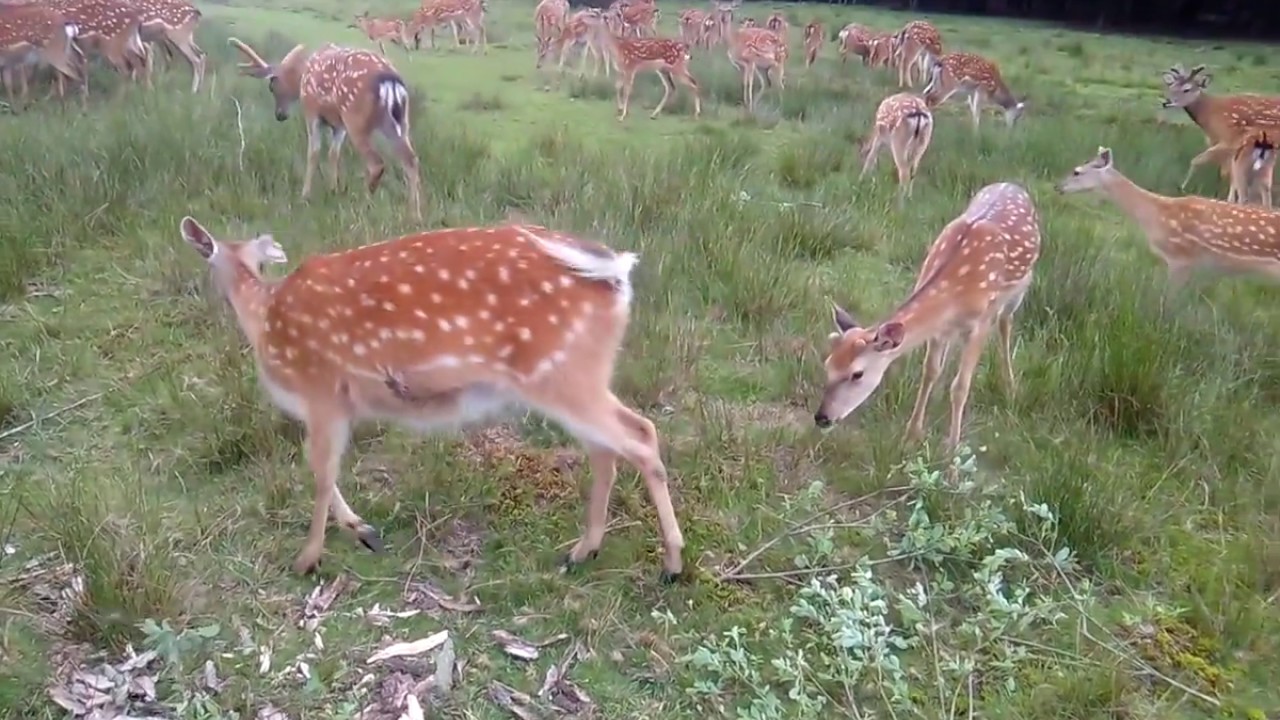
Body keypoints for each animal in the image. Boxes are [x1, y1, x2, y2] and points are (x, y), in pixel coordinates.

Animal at [176, 217, 687, 582]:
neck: (265, 320)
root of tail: (616, 273)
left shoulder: (321, 388)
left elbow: (320, 472)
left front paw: (308, 558)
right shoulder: (335, 405)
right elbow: (326, 470)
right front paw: (362, 530)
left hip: (562, 372)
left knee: (640, 434)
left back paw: (672, 563)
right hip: (578, 373)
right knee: (608, 447)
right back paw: (583, 551)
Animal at [229, 37, 423, 223]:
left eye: (272, 87)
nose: (280, 115)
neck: (303, 74)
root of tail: (391, 82)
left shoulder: (312, 112)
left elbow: (313, 152)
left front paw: (305, 195)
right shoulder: (339, 125)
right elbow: (333, 154)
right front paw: (333, 190)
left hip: (356, 119)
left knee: (377, 163)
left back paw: (363, 207)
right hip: (398, 123)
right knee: (411, 159)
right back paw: (414, 215)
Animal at [815, 182, 1041, 471]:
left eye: (857, 374)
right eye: (827, 364)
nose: (822, 418)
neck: (955, 292)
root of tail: (1013, 184)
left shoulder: (981, 322)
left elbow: (961, 387)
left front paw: (952, 458)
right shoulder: (940, 329)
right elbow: (930, 371)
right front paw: (912, 436)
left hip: (1021, 285)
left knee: (1005, 322)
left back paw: (1010, 386)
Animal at [1161, 64, 1280, 192]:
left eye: (1186, 89)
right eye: (1171, 87)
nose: (1166, 102)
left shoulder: (1230, 140)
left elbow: (1197, 160)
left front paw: (1182, 187)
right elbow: (1227, 173)